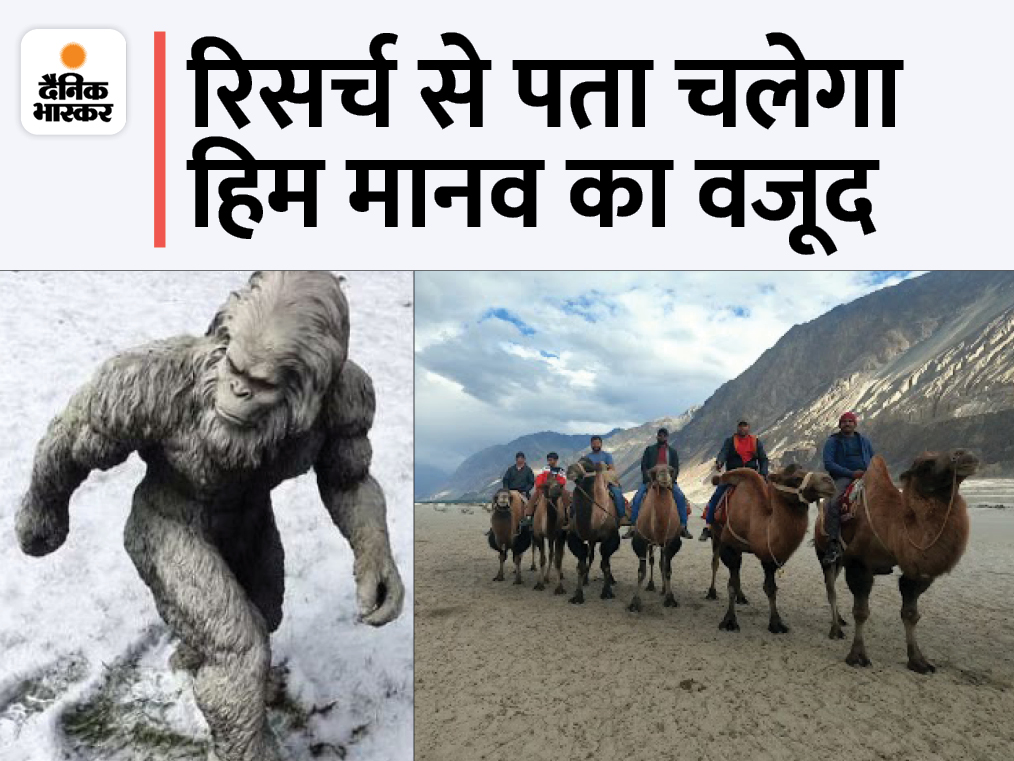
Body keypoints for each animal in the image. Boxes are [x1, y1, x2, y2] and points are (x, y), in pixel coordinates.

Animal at [564, 458, 621, 604]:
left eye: (588, 467)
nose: (570, 469)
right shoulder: (574, 537)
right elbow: (581, 565)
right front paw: (578, 595)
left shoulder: (612, 538)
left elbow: (605, 564)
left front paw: (607, 592)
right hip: (591, 540)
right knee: (590, 556)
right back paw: (585, 580)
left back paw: (612, 580)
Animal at [629, 464, 683, 612]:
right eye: (653, 472)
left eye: (671, 469)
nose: (663, 474)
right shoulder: (640, 542)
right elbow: (641, 571)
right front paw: (635, 602)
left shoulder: (672, 543)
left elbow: (668, 569)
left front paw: (670, 599)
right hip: (651, 543)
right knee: (652, 561)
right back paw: (651, 585)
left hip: (662, 544)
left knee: (661, 562)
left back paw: (664, 589)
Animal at [707, 465, 836, 633]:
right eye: (796, 478)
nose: (829, 481)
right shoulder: (729, 548)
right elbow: (731, 585)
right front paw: (729, 621)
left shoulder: (769, 556)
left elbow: (770, 588)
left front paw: (776, 623)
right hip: (716, 535)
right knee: (715, 563)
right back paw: (711, 592)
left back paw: (742, 597)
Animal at [814, 451, 978, 673]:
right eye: (926, 465)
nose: (965, 456)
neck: (892, 527)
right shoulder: (858, 563)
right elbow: (861, 612)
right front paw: (857, 656)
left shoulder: (915, 571)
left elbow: (910, 614)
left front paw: (918, 660)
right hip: (825, 553)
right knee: (831, 588)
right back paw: (835, 629)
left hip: (840, 561)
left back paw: (840, 620)